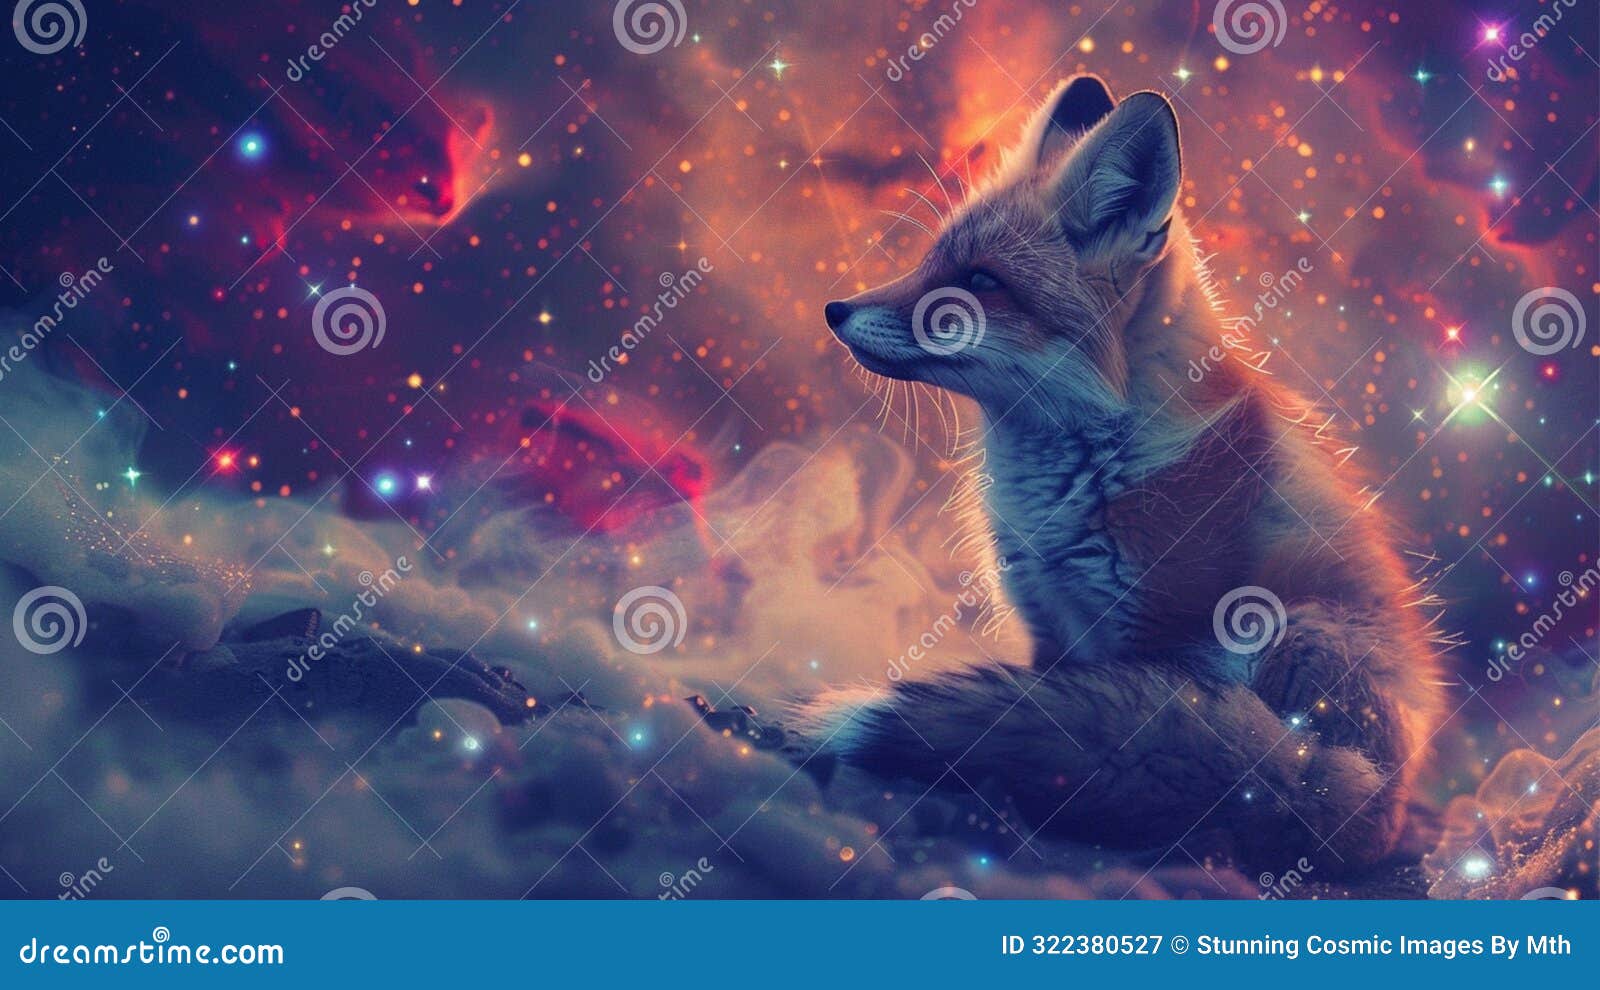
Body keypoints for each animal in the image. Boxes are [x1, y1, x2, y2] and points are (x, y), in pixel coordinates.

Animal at [805, 75, 1444, 872]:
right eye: (929, 263)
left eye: (980, 281)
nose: (835, 309)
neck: (1086, 465)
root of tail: (1386, 793)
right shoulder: (1046, 623)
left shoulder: (1164, 627)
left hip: (1299, 632)